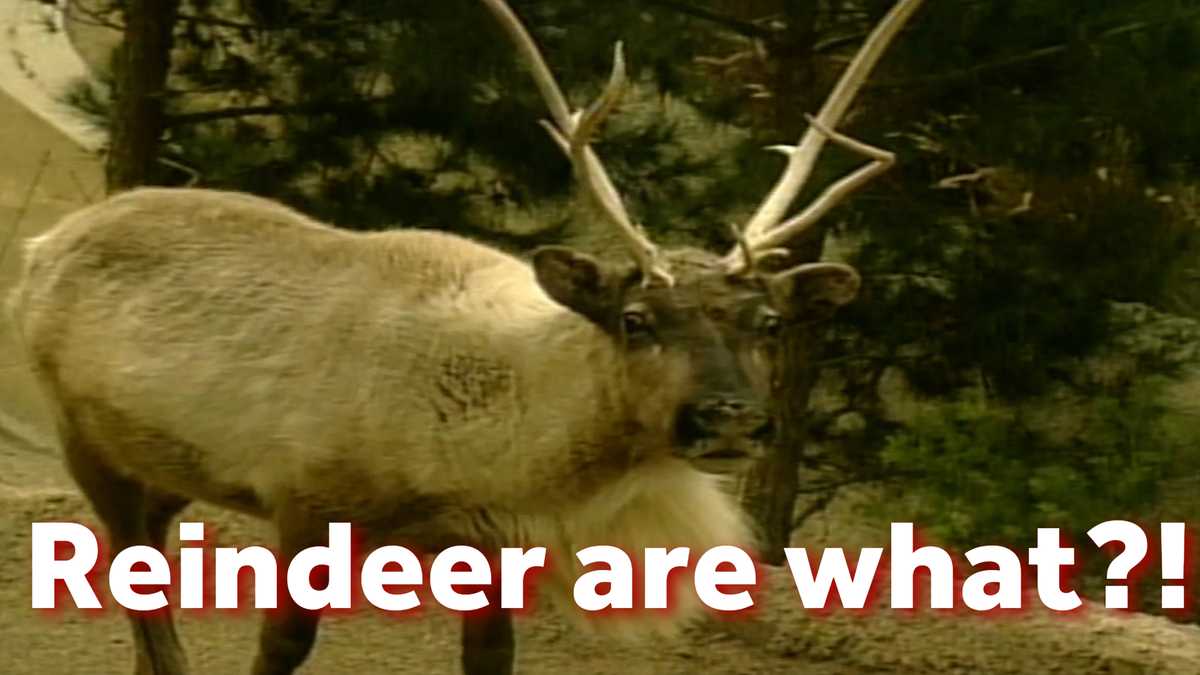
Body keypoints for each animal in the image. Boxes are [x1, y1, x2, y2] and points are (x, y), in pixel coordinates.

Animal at [7, 0, 922, 673]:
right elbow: (281, 647)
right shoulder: (304, 500)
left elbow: (491, 658)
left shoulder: (488, 551)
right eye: (636, 320)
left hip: (166, 463)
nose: (730, 417)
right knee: (141, 594)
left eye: (768, 322)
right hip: (85, 437)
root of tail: (43, 245)